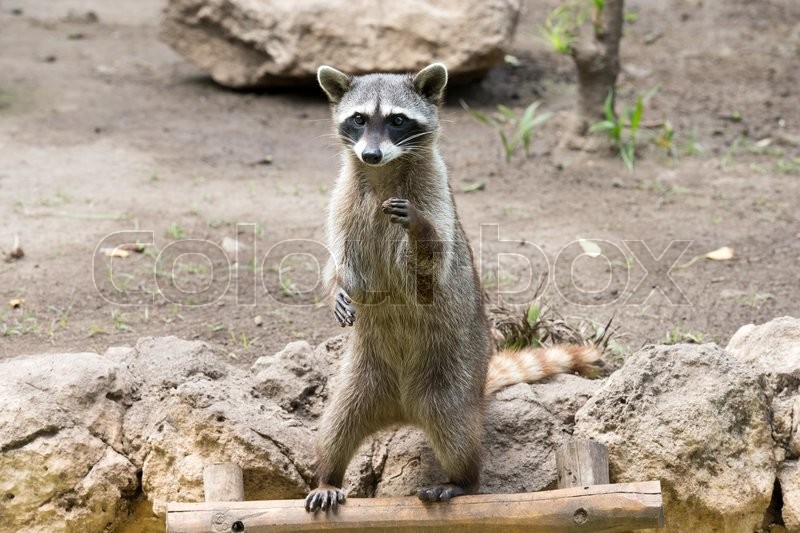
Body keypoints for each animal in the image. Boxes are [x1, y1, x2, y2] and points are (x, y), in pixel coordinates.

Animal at [305, 63, 600, 512]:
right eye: (358, 119)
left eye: (397, 120)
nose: (370, 154)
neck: (383, 172)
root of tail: (403, 411)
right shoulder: (344, 200)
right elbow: (338, 258)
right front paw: (335, 285)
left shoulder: (434, 195)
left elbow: (434, 262)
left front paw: (419, 231)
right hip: (359, 378)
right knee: (335, 425)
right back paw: (327, 475)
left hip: (454, 376)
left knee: (456, 429)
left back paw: (463, 479)